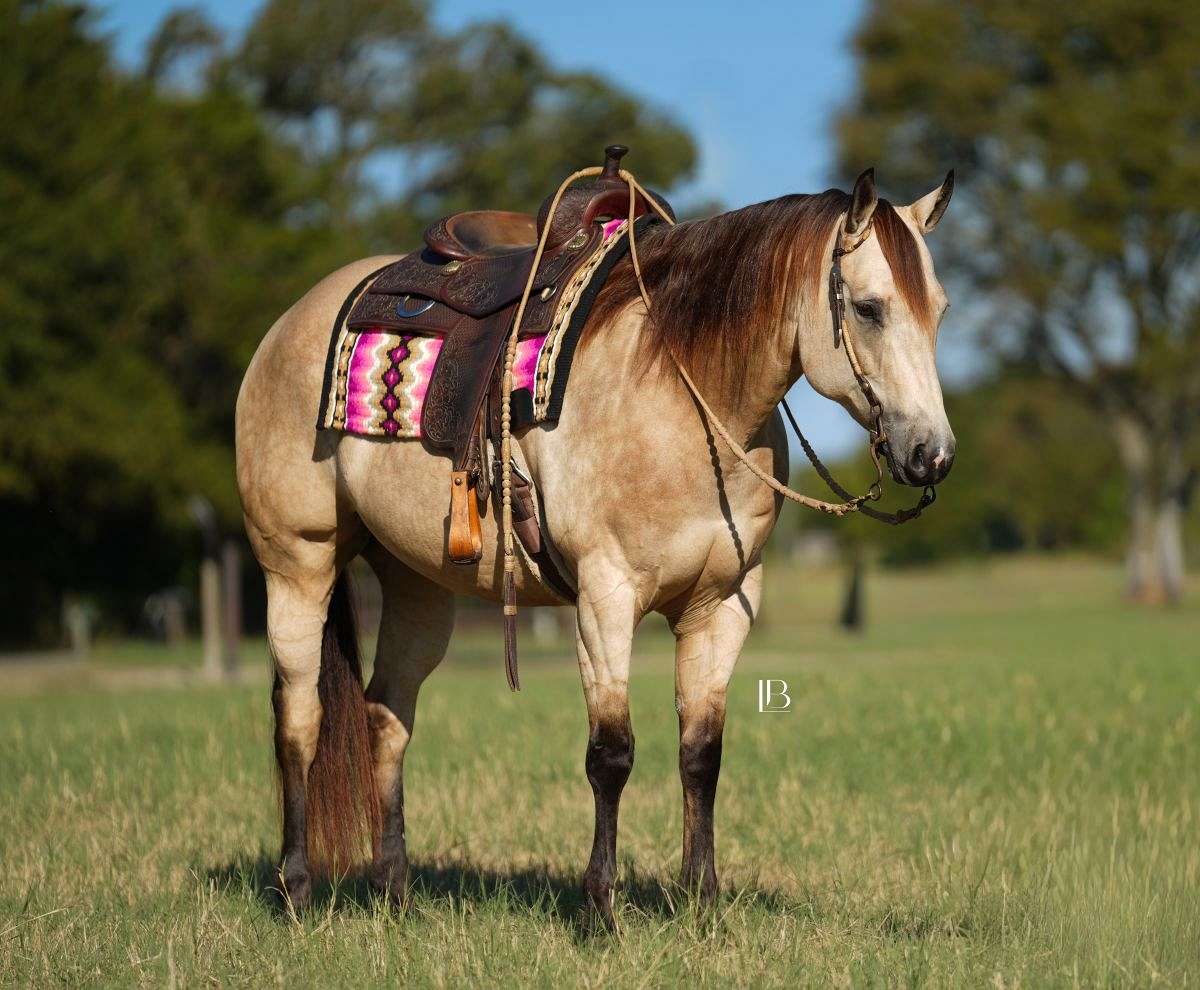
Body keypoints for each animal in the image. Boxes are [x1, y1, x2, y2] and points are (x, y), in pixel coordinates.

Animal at [234, 166, 956, 927]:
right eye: (870, 309)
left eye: (939, 310)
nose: (932, 455)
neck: (680, 391)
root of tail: (292, 322)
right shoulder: (604, 599)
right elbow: (611, 754)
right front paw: (601, 908)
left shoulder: (721, 606)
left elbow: (701, 753)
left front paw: (701, 901)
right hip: (297, 563)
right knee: (300, 717)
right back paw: (295, 890)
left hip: (416, 586)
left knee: (387, 714)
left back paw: (395, 893)